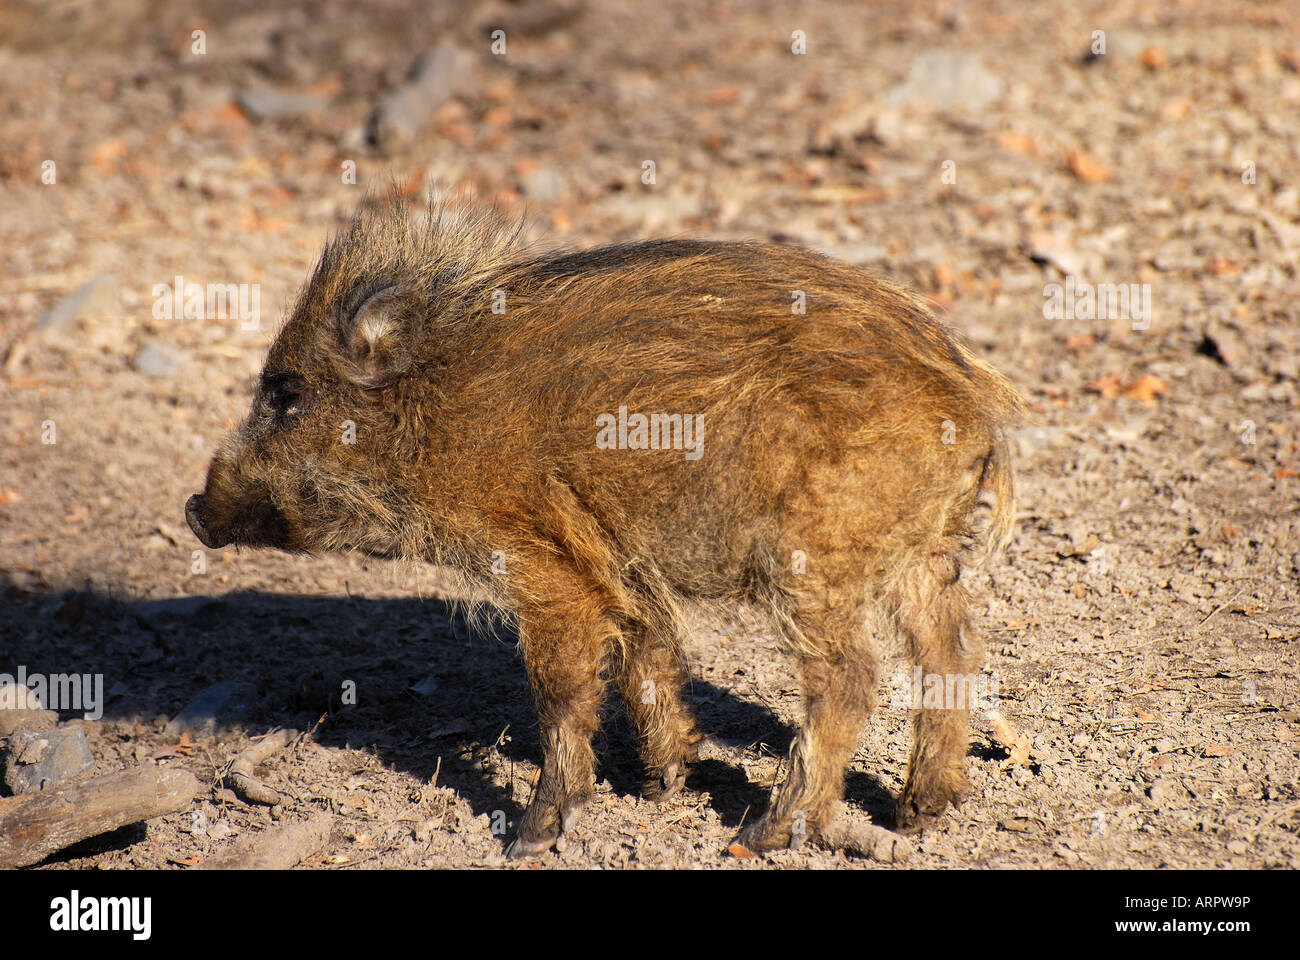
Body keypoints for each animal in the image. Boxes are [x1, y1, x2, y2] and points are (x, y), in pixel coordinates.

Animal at [186, 193, 1023, 858]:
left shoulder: (545, 565)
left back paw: (763, 835)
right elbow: (643, 660)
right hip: (921, 553)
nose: (196, 511)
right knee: (951, 649)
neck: (437, 411)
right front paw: (664, 782)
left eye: (287, 396)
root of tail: (972, 401)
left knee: (849, 678)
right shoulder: (619, 562)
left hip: (814, 559)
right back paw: (920, 813)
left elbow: (560, 689)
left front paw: (531, 837)